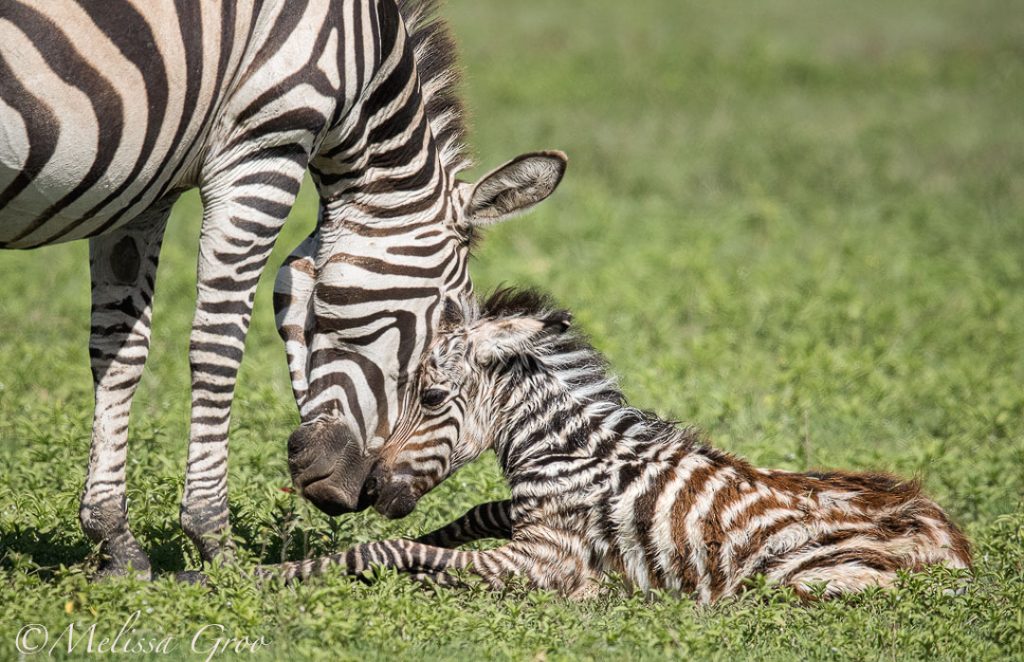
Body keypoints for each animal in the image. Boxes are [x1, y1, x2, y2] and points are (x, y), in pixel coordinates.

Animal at [0, 0, 567, 579]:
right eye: (448, 321)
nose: (356, 494)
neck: (365, 64)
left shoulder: (142, 194)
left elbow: (119, 353)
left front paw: (114, 539)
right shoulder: (264, 148)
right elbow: (218, 347)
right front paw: (214, 541)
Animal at [272, 289, 972, 601]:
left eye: (434, 398)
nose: (367, 488)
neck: (567, 451)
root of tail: (950, 535)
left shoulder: (543, 560)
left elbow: (389, 549)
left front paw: (278, 574)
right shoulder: (526, 520)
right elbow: (469, 517)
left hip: (807, 579)